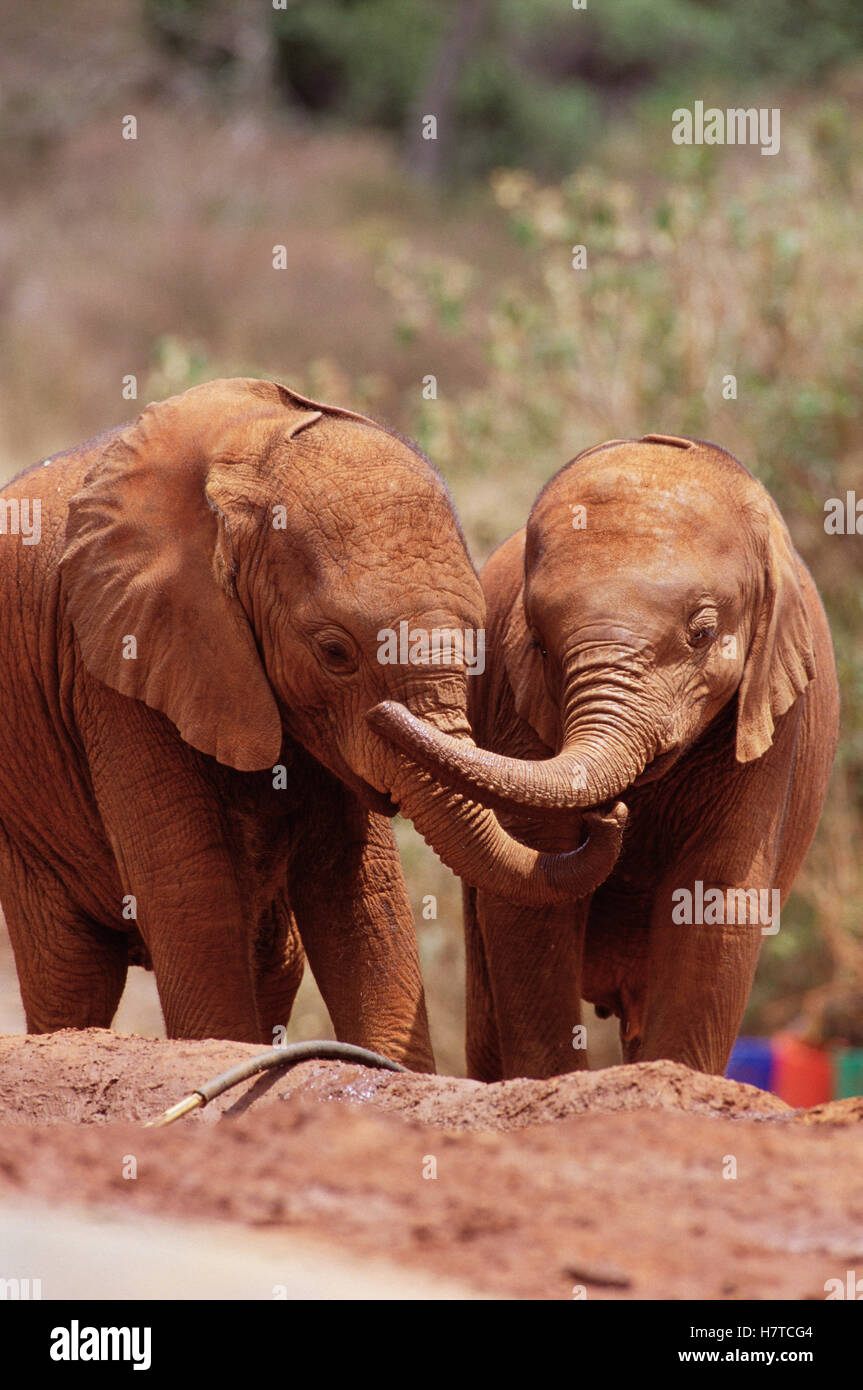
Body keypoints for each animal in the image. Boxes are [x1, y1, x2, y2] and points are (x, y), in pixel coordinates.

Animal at [0, 378, 625, 1067]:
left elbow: (358, 891)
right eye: (334, 652)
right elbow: (190, 888)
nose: (610, 813)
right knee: (69, 974)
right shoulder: (116, 665)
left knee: (272, 961)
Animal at [372, 433, 840, 1078]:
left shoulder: (773, 722)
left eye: (702, 633)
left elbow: (715, 903)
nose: (378, 712)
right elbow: (531, 905)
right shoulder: (517, 706)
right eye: (540, 645)